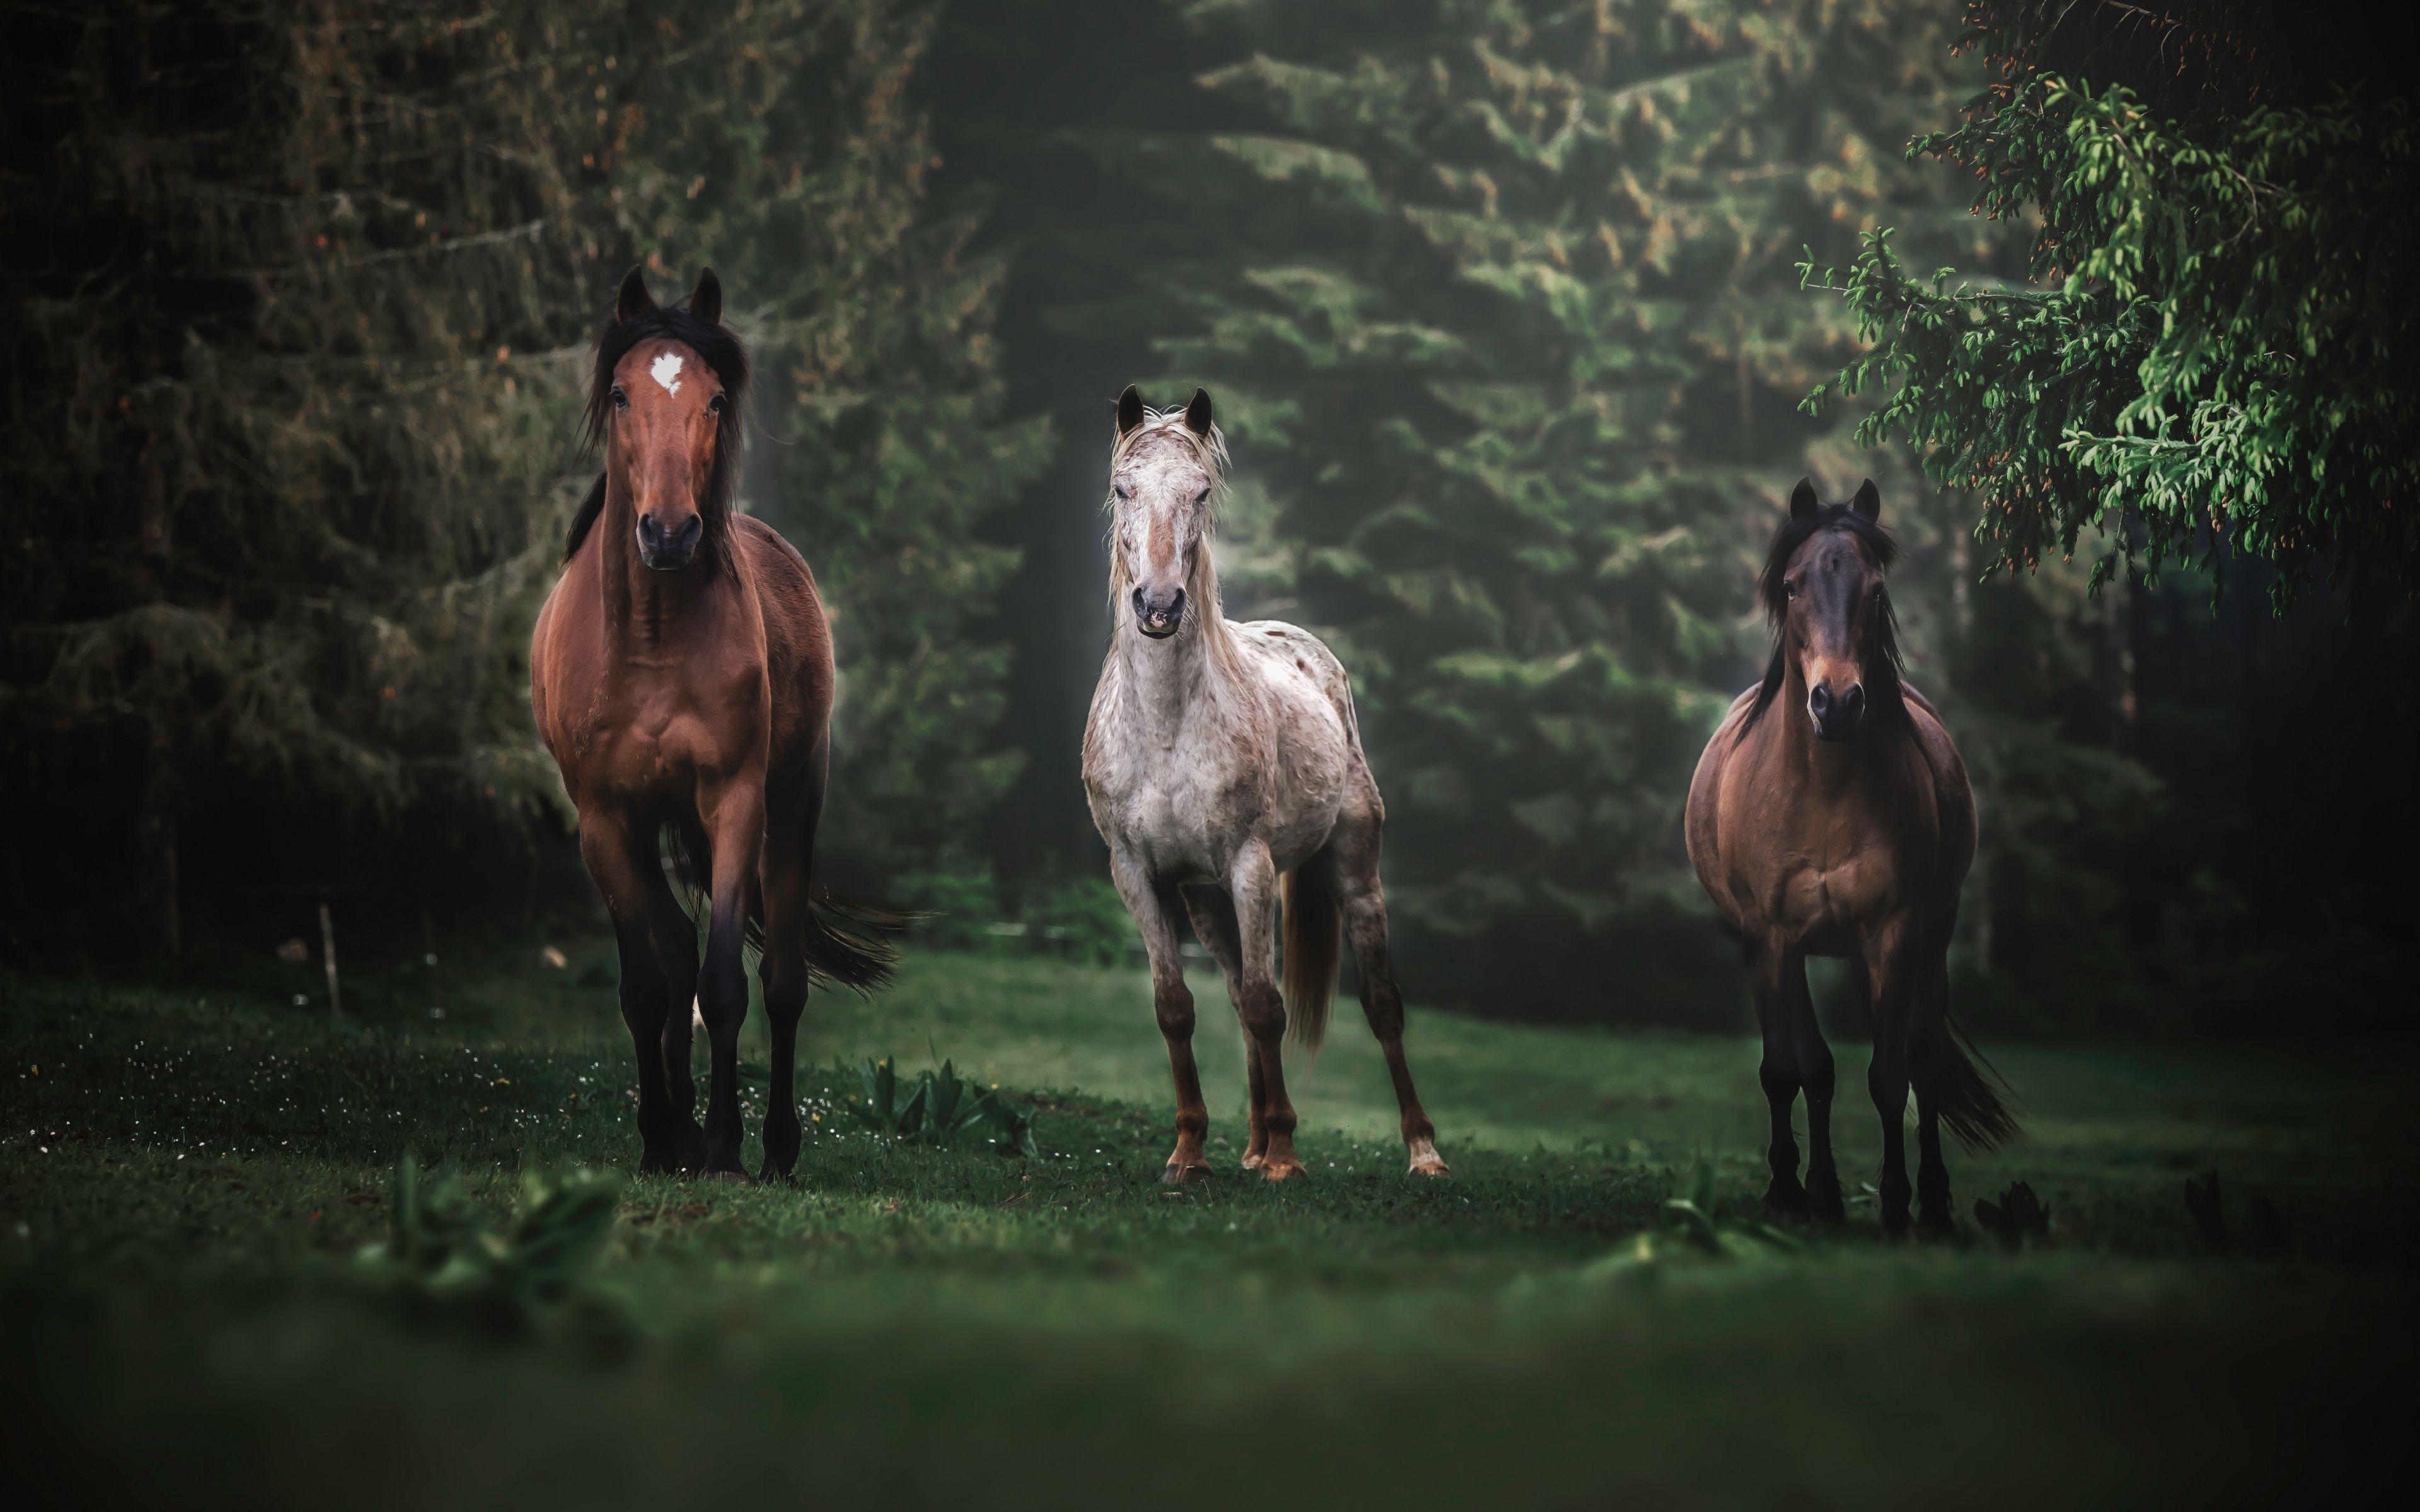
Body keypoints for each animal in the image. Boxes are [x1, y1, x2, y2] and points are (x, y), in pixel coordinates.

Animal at [531, 265, 893, 1181]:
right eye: (621, 394)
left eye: (716, 398)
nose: (668, 531)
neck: (652, 638)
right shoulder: (606, 820)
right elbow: (647, 985)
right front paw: (664, 1136)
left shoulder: (734, 804)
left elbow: (727, 983)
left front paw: (726, 1145)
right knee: (673, 951)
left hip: (792, 807)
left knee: (782, 979)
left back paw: (774, 1148)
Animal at [1081, 385, 1449, 1184]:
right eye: (1122, 489)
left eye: (1200, 491)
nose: (1159, 606)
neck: (1165, 727)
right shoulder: (1139, 875)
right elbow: (1177, 1007)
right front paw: (1190, 1152)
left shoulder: (1249, 865)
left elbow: (1267, 1004)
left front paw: (1285, 1153)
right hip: (1206, 900)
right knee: (1229, 992)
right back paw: (1247, 1145)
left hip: (1352, 874)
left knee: (1379, 1004)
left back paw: (1422, 1151)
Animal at [1684, 477, 2014, 1235]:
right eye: (1794, 585)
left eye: (1875, 587)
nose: (1835, 703)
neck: (1824, 790)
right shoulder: (1771, 940)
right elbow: (1791, 1069)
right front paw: (1792, 1193)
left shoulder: (1893, 933)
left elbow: (1891, 1077)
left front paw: (1895, 1203)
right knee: (1816, 1067)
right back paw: (1822, 1193)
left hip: (1929, 939)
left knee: (1922, 1058)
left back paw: (1933, 1203)